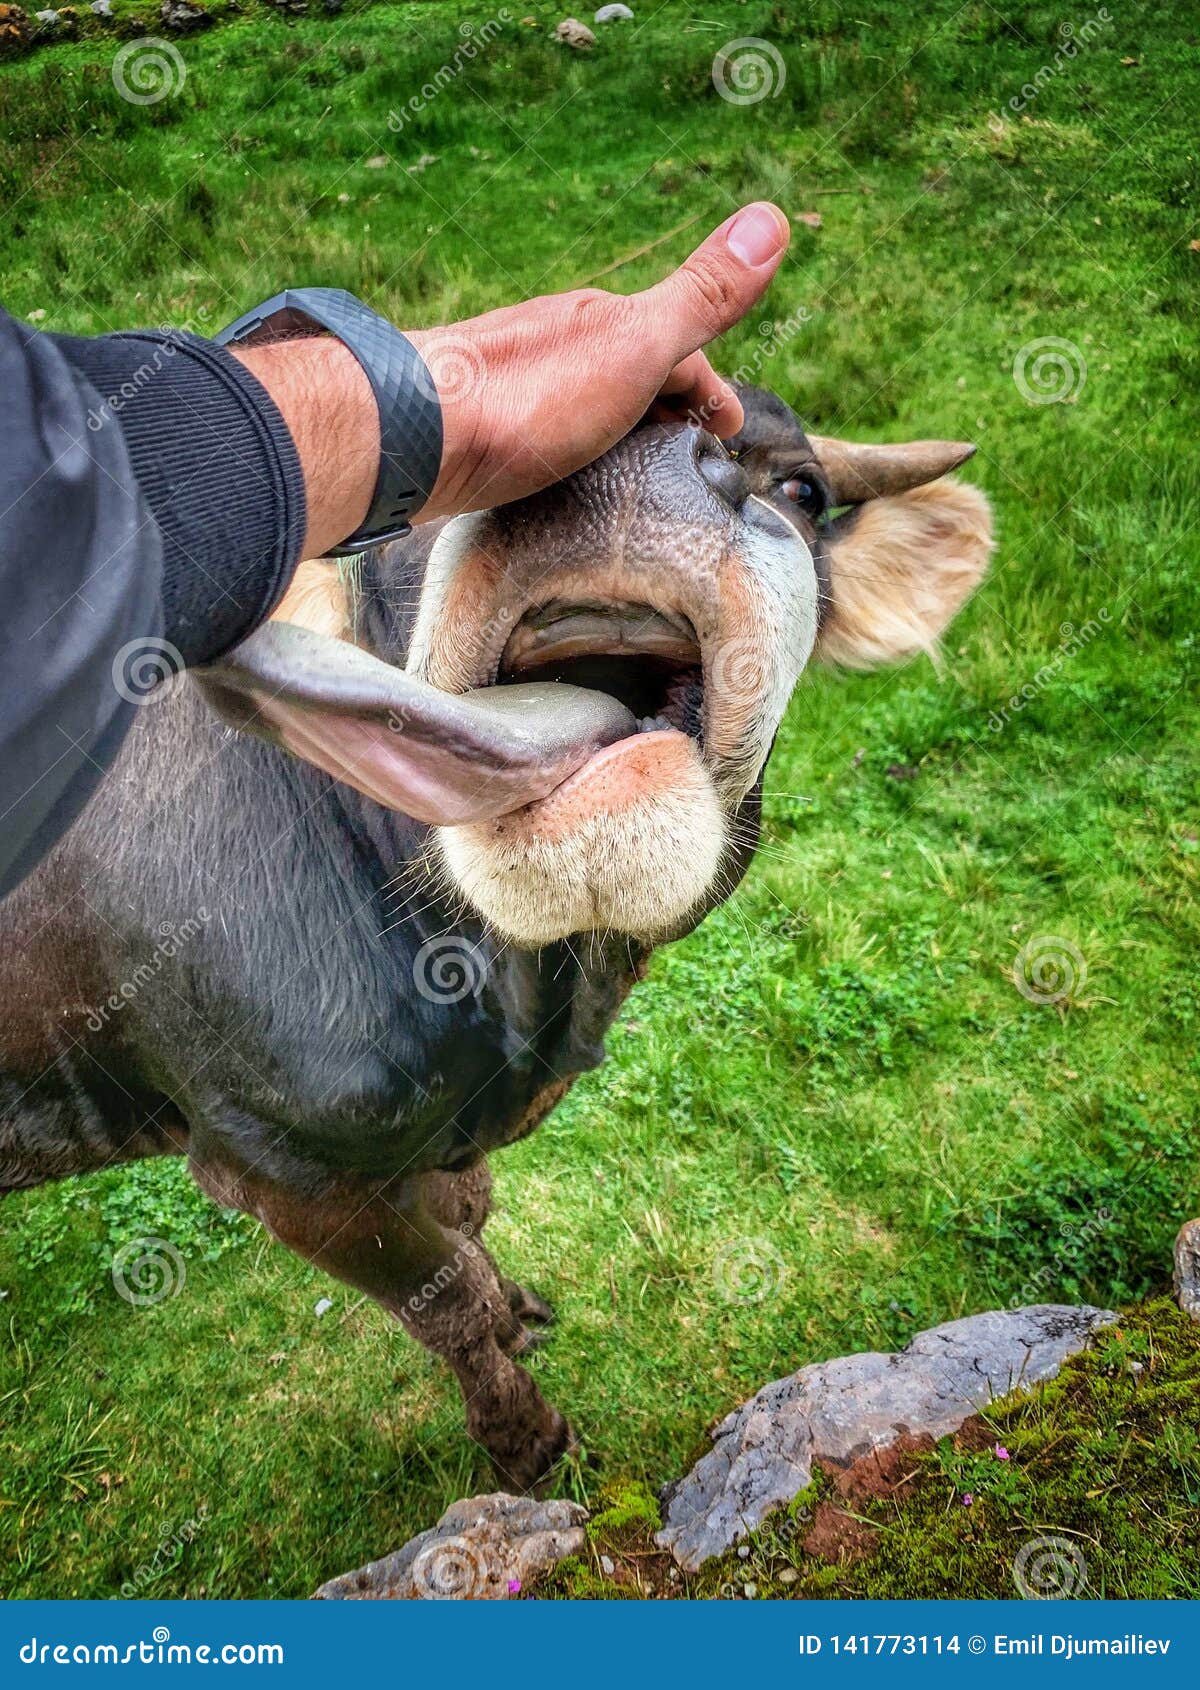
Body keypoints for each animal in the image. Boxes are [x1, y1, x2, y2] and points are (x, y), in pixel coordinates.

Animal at [0, 385, 993, 1490]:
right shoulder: (273, 1159)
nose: (614, 453)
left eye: (804, 487)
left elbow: (468, 1222)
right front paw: (528, 1439)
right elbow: (444, 1301)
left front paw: (516, 1311)